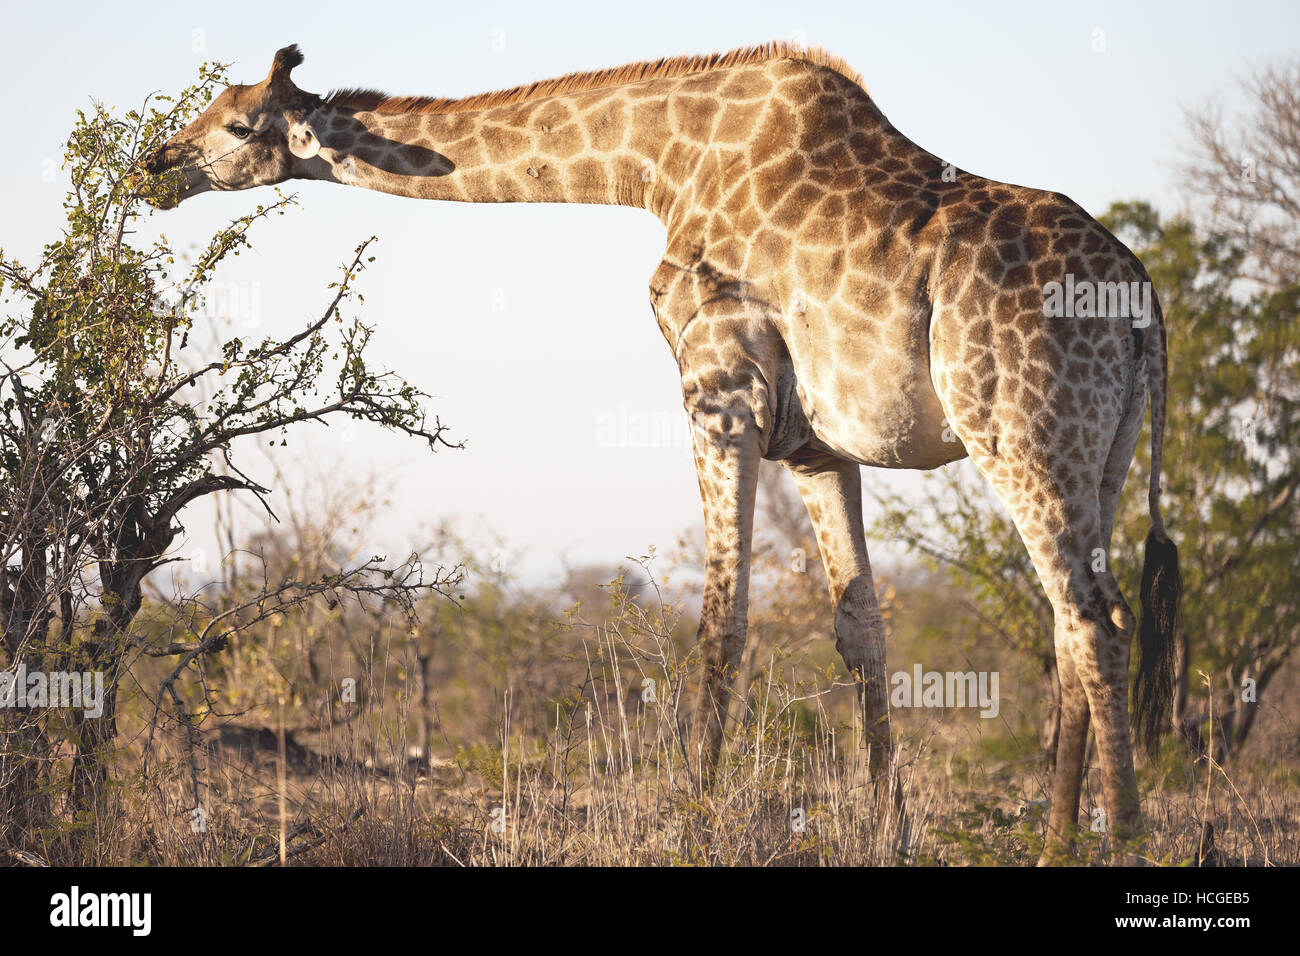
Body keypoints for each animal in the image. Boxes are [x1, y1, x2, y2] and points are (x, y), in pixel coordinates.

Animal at [142, 43, 1181, 859]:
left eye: (238, 122)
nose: (155, 163)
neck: (658, 167)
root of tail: (1140, 297)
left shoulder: (719, 388)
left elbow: (722, 619)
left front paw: (692, 818)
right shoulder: (816, 444)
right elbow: (861, 628)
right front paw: (892, 831)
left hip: (1019, 432)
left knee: (1097, 620)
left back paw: (1124, 837)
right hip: (1101, 453)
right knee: (1072, 621)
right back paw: (1056, 843)